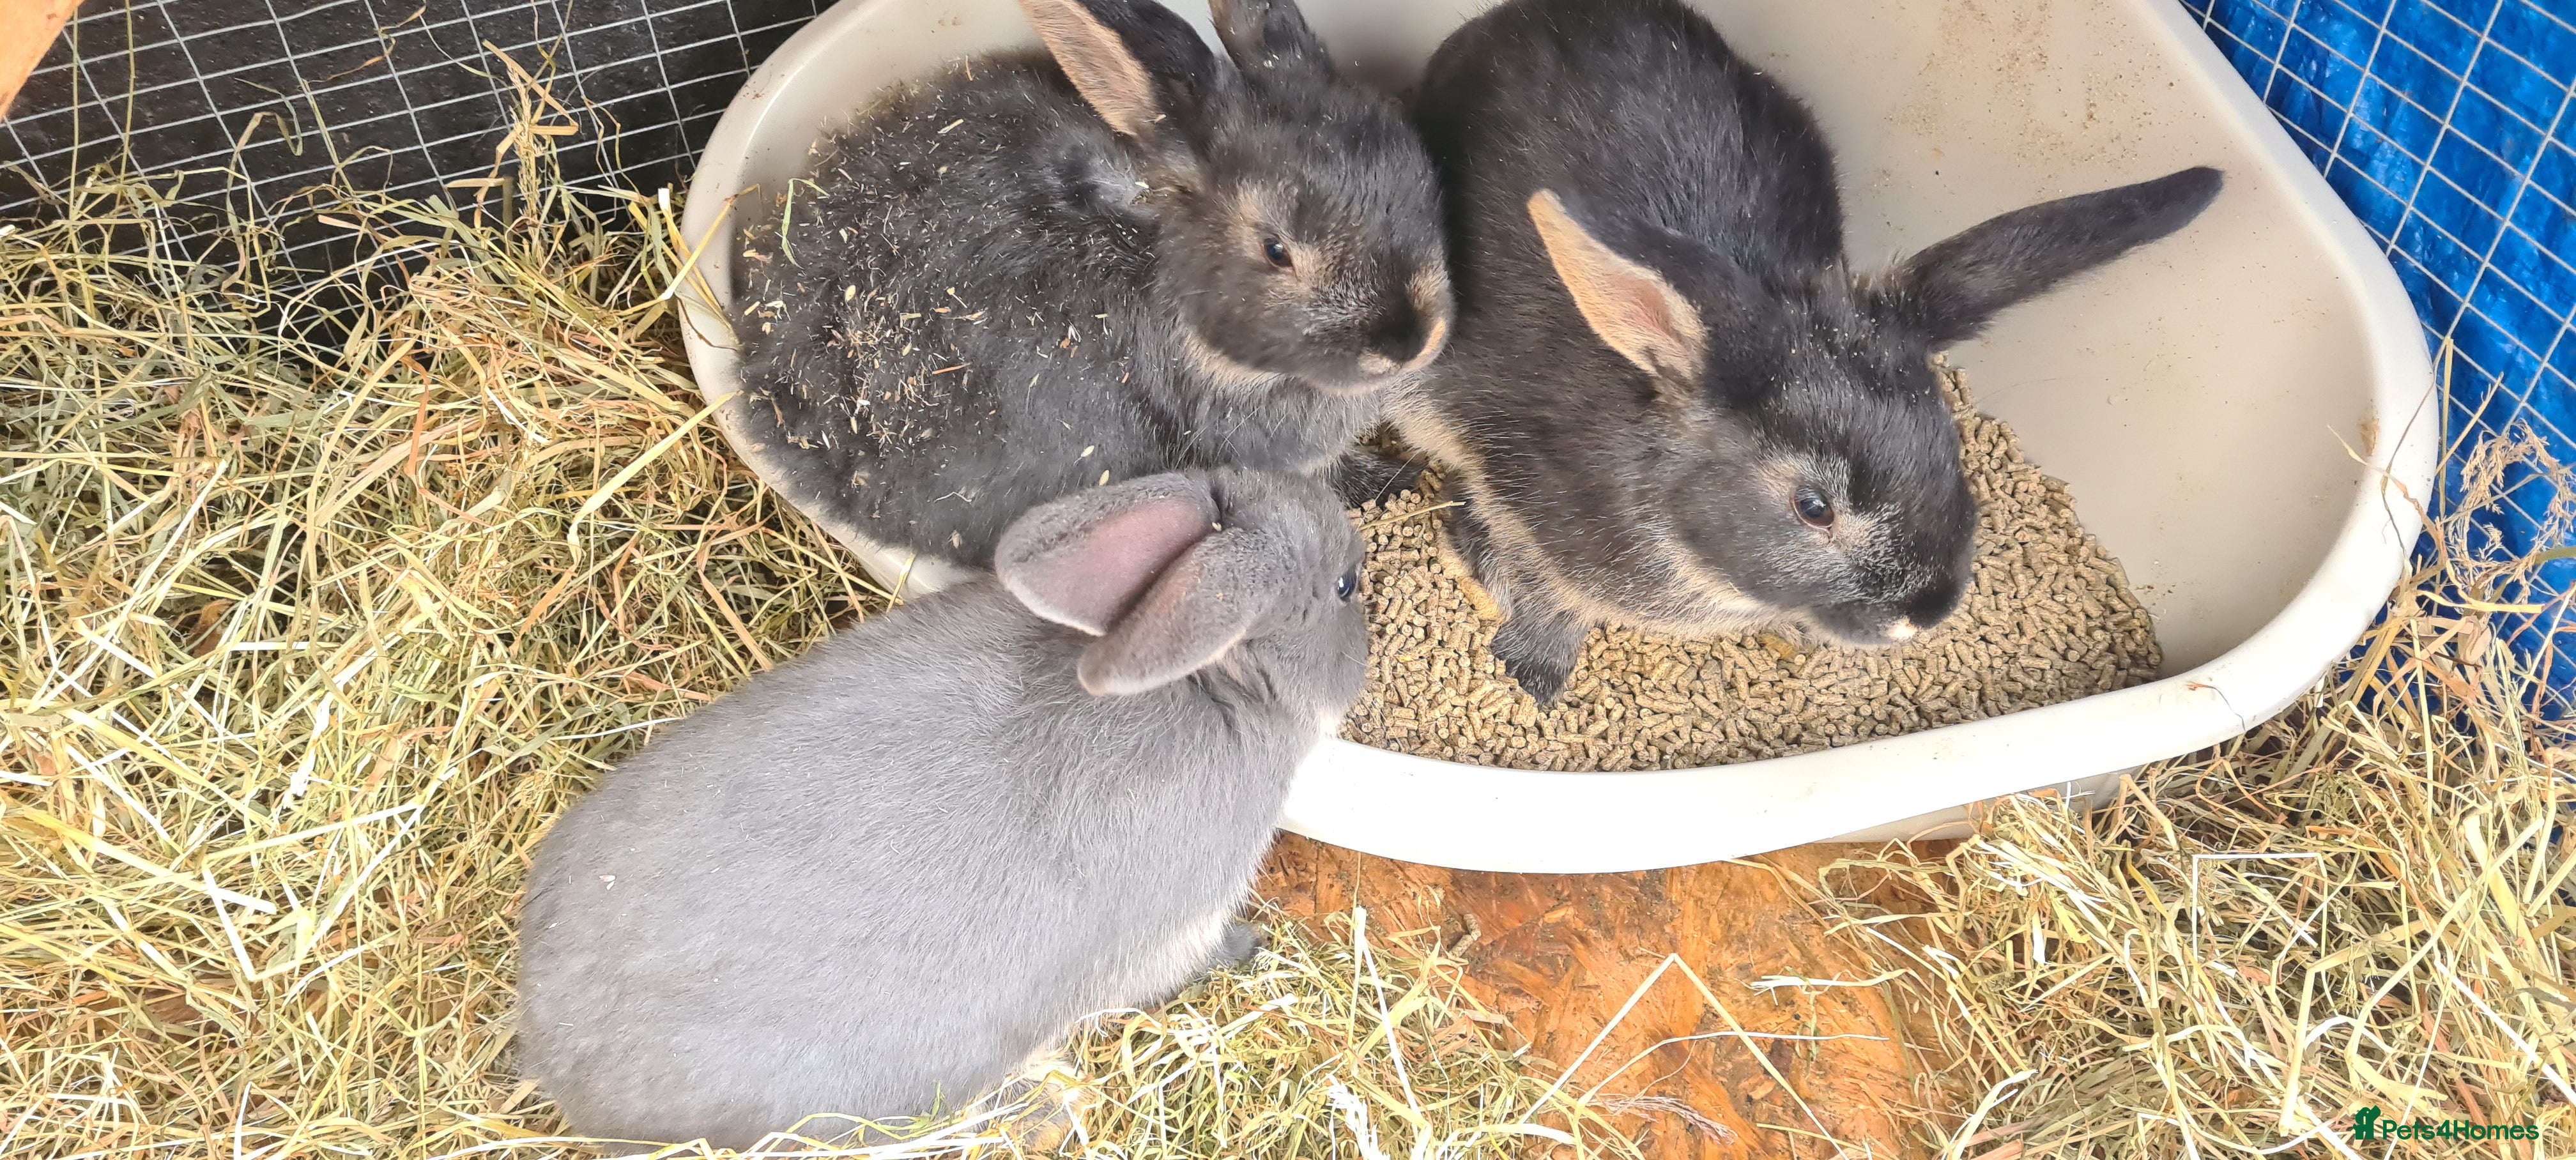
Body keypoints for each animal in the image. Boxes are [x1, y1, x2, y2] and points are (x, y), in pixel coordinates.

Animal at [514, 466, 1368, 1149]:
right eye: (1346, 587)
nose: (1357, 546)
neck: (1209, 684)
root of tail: (552, 1052)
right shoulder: (1178, 923)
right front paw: (1250, 944)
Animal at [1392, 0, 2224, 704]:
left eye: (1948, 448)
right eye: (1813, 507)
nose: (1926, 612)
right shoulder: (1512, 493)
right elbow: (1547, 590)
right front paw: (1529, 670)